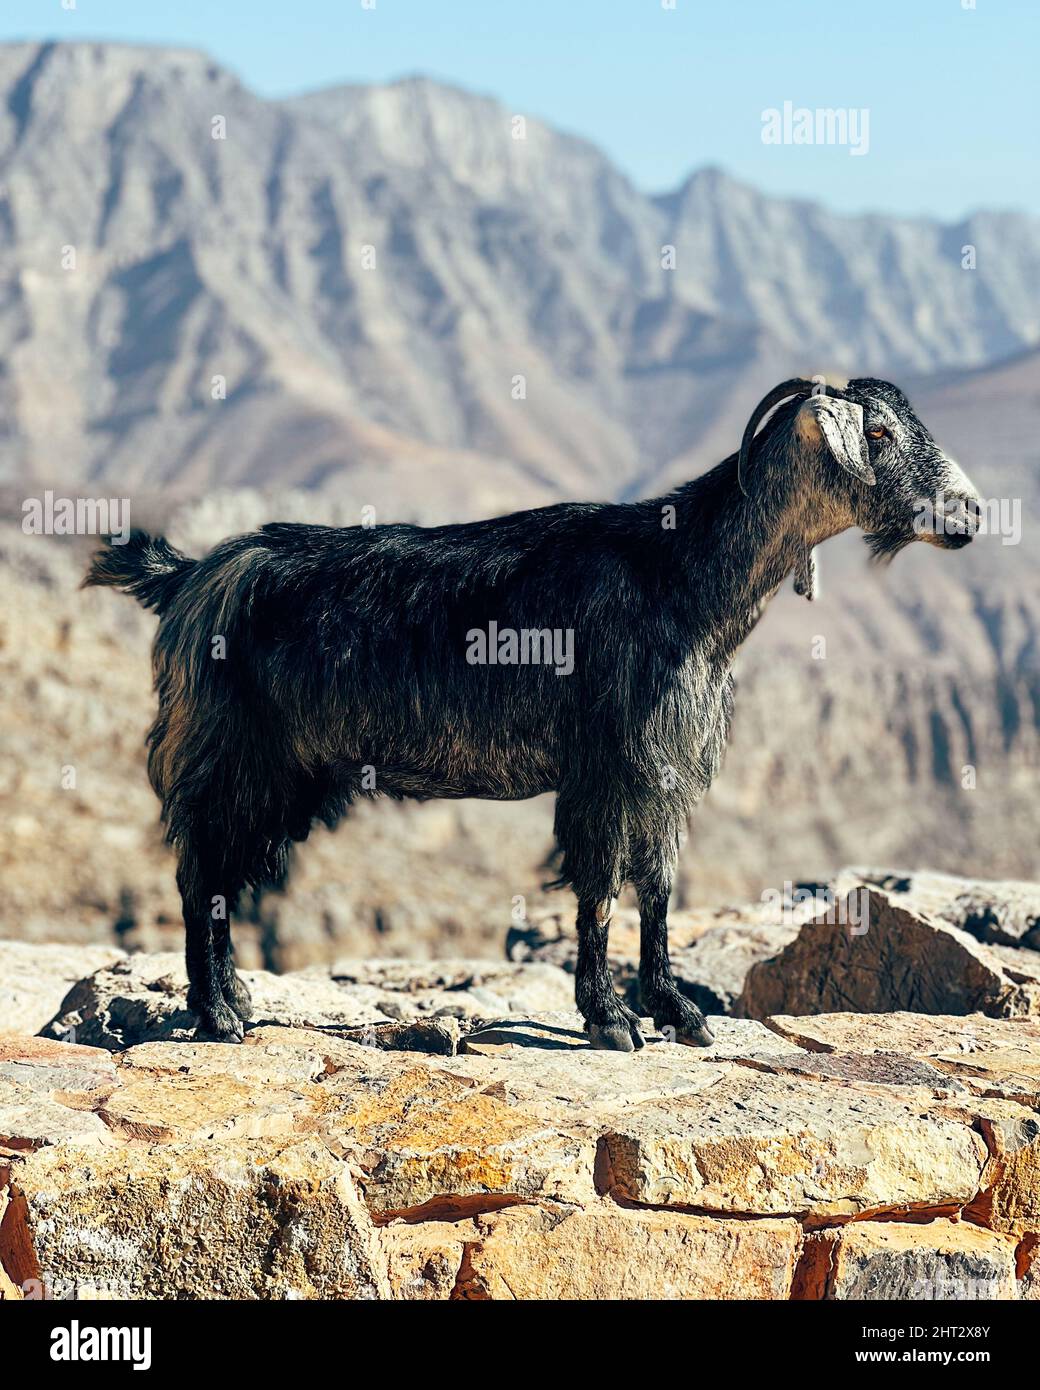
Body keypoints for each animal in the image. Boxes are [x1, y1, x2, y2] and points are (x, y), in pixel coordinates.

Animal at [84, 377, 982, 1047]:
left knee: (223, 874)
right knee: (201, 868)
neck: (678, 572)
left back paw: (236, 999)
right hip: (237, 752)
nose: (969, 515)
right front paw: (612, 1019)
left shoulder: (664, 767)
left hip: (289, 772)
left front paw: (677, 1010)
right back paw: (216, 1015)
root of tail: (193, 576)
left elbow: (659, 883)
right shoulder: (608, 764)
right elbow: (602, 888)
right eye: (876, 433)